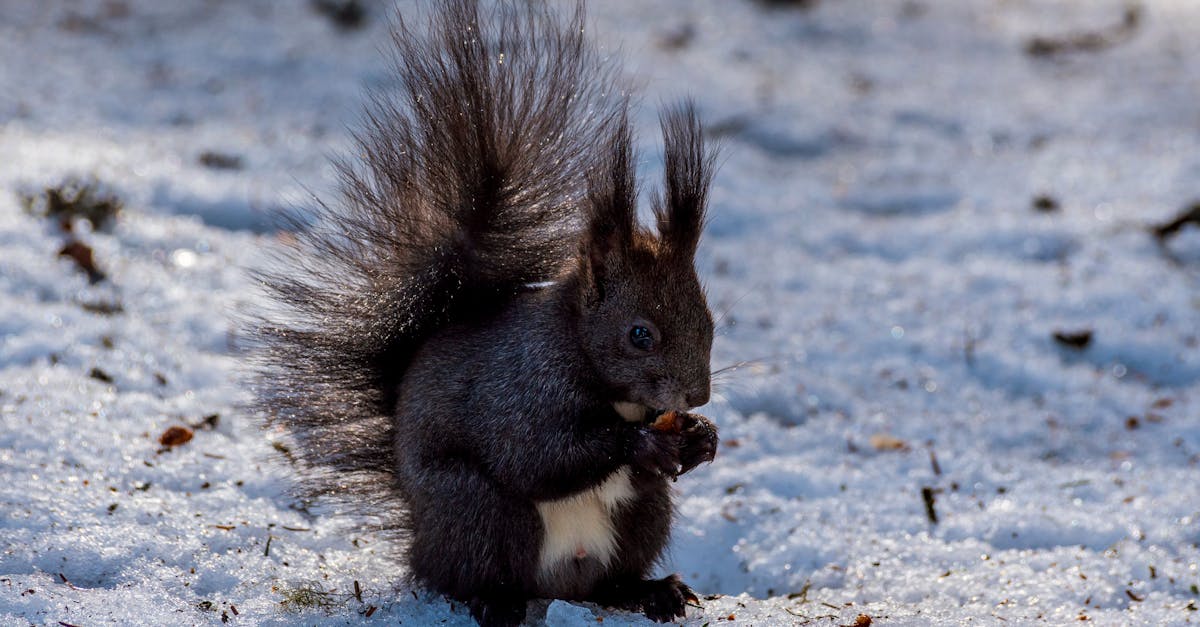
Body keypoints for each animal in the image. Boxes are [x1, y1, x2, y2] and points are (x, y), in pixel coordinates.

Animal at [252, 2, 715, 619]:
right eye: (640, 334)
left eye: (709, 323)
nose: (697, 397)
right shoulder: (517, 391)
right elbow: (534, 457)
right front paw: (643, 443)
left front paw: (703, 438)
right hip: (479, 511)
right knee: (472, 573)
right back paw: (497, 603)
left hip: (644, 511)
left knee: (610, 581)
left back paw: (651, 590)